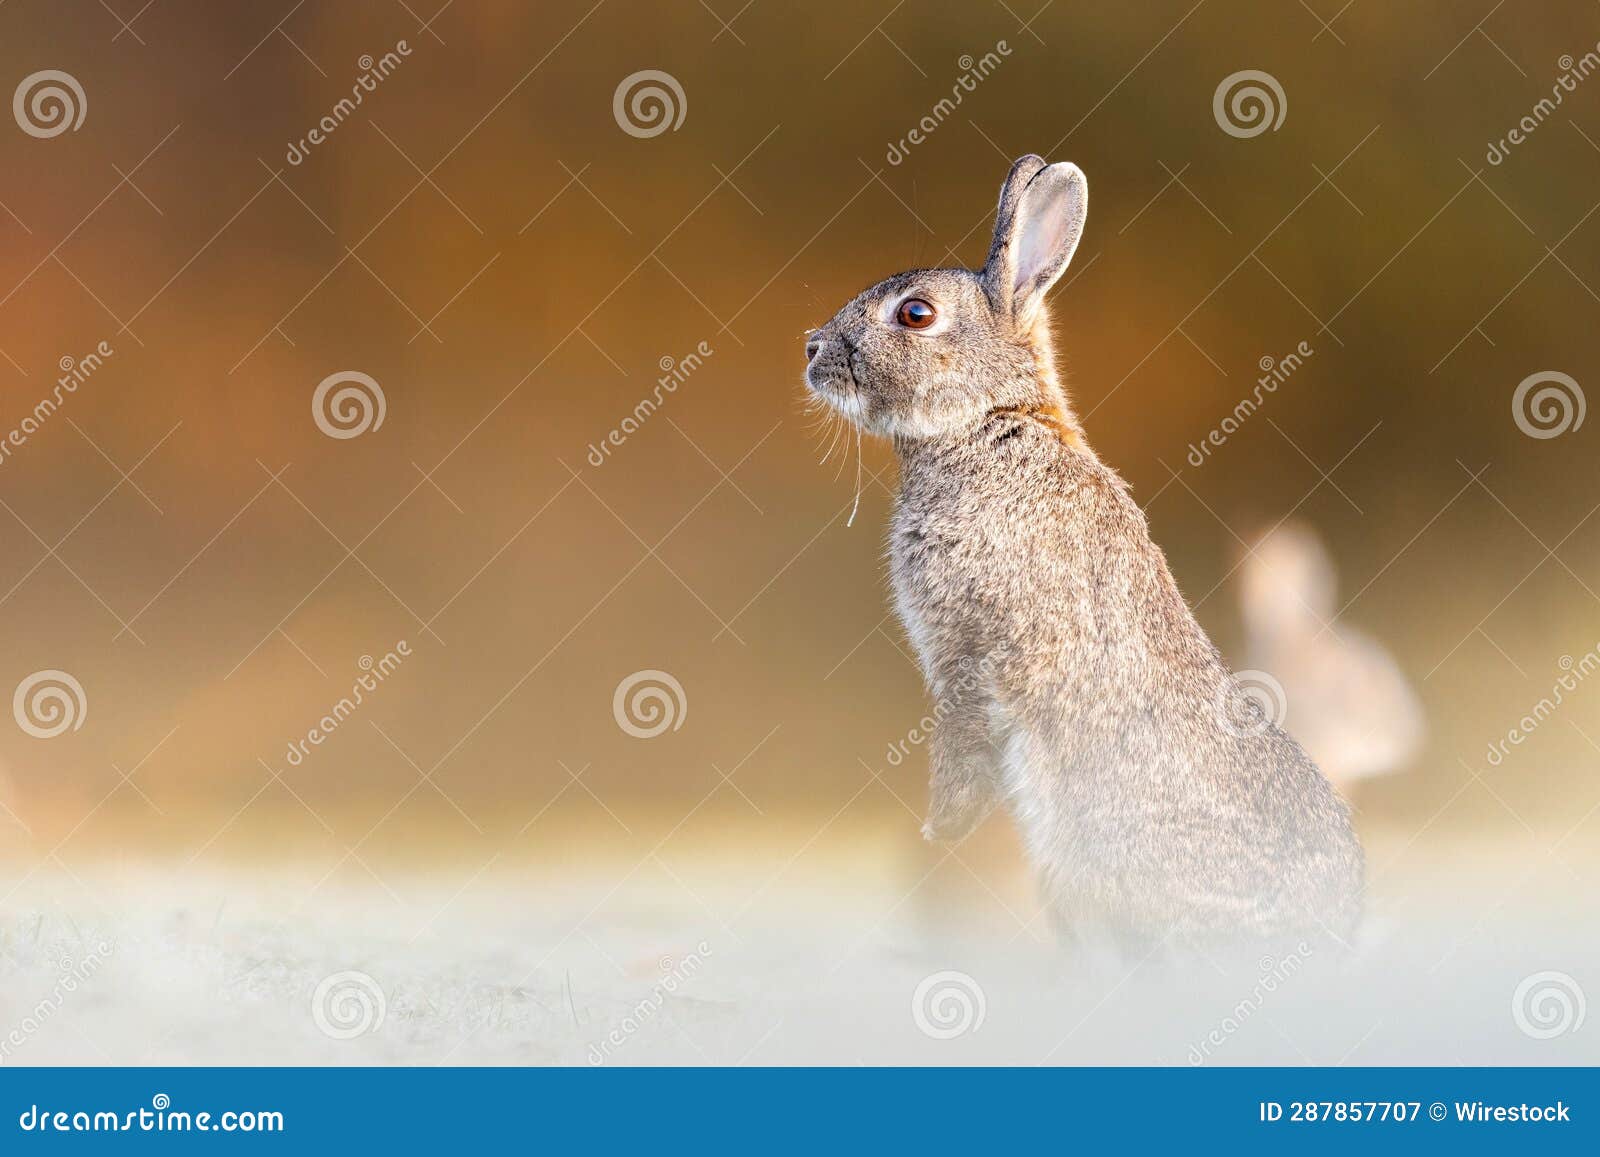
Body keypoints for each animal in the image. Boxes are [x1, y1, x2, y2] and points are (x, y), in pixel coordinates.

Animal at [803, 154, 1362, 952]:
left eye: (915, 314)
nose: (812, 351)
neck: (990, 420)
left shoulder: (973, 654)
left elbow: (962, 744)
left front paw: (944, 826)